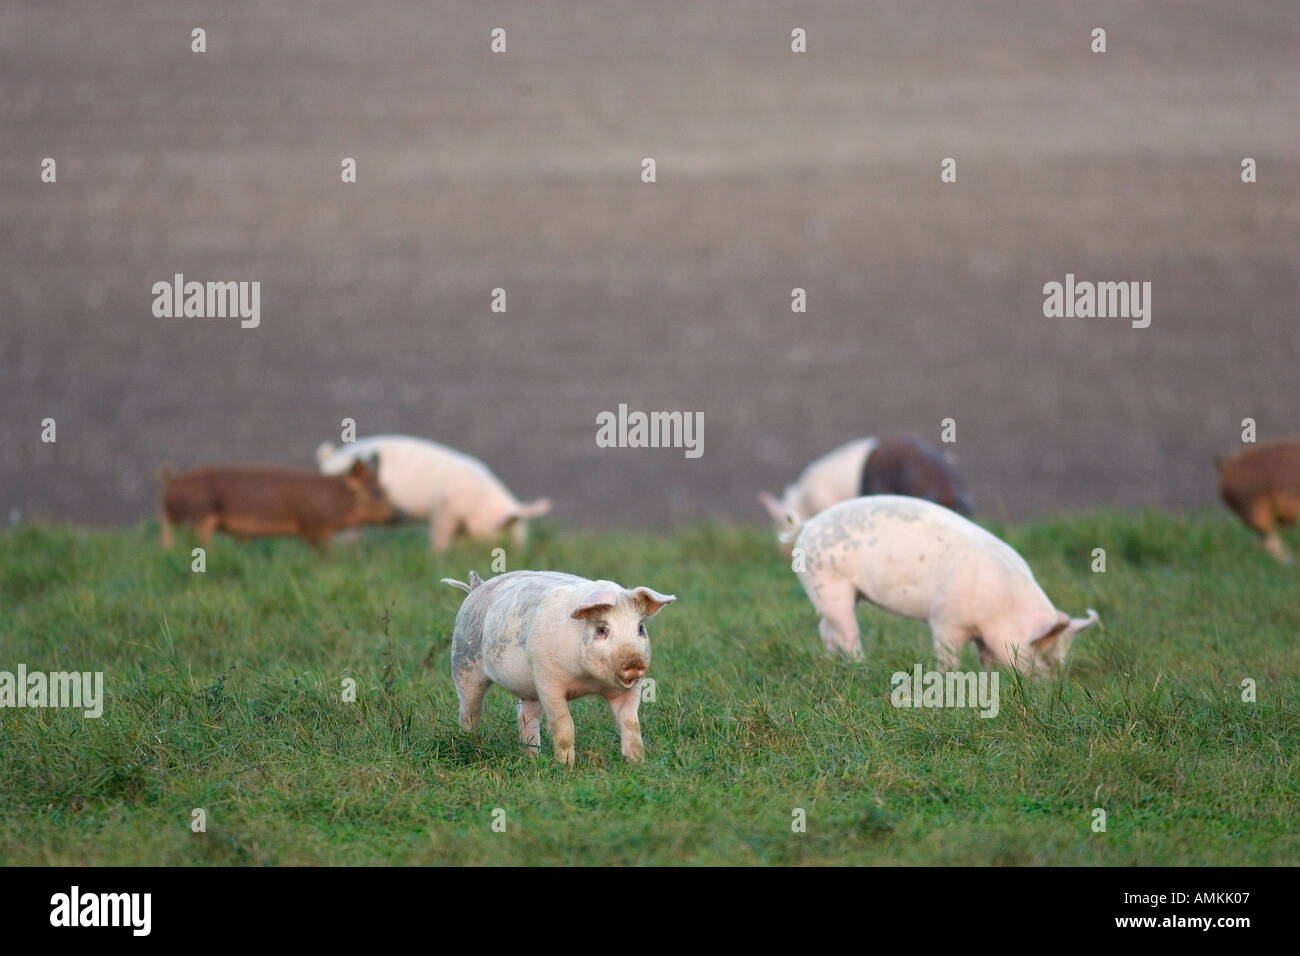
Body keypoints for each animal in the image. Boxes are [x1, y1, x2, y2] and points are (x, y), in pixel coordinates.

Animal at [158, 456, 396, 551]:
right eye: (377, 493)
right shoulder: (314, 525)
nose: (396, 516)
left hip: (177, 517)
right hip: (199, 516)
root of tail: (170, 483)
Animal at [317, 434, 551, 553]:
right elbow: (440, 536)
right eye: (508, 528)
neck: (481, 504)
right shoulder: (444, 508)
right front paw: (438, 556)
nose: (521, 554)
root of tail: (329, 461)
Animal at [443, 570, 676, 765]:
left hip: (529, 687)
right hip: (463, 660)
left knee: (526, 716)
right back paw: (469, 742)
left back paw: (534, 758)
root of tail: (477, 585)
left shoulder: (629, 690)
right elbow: (564, 725)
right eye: (602, 629)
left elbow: (631, 723)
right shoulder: (548, 681)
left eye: (640, 628)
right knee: (469, 711)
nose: (634, 663)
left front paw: (636, 762)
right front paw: (566, 766)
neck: (589, 681)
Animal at [790, 495, 1098, 674]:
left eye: (1061, 658)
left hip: (836, 594)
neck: (1004, 608)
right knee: (847, 632)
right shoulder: (945, 619)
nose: (1047, 692)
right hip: (828, 584)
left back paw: (832, 660)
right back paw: (860, 664)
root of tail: (807, 526)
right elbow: (948, 656)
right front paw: (947, 678)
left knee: (827, 628)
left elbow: (987, 657)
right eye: (1043, 656)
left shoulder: (983, 634)